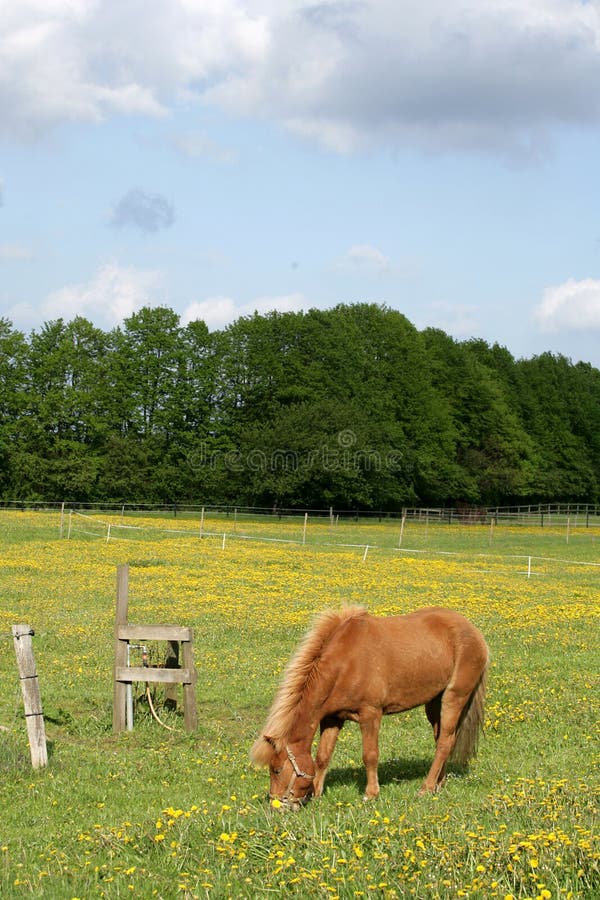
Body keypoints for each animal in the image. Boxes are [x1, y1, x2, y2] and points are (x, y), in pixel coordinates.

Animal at [251, 606, 488, 809]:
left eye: (277, 769)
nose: (276, 805)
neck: (345, 662)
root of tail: (474, 632)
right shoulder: (332, 719)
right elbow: (322, 756)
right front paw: (317, 792)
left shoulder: (370, 714)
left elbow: (370, 755)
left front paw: (371, 793)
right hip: (434, 703)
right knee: (443, 738)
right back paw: (439, 783)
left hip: (453, 697)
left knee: (445, 742)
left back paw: (426, 788)